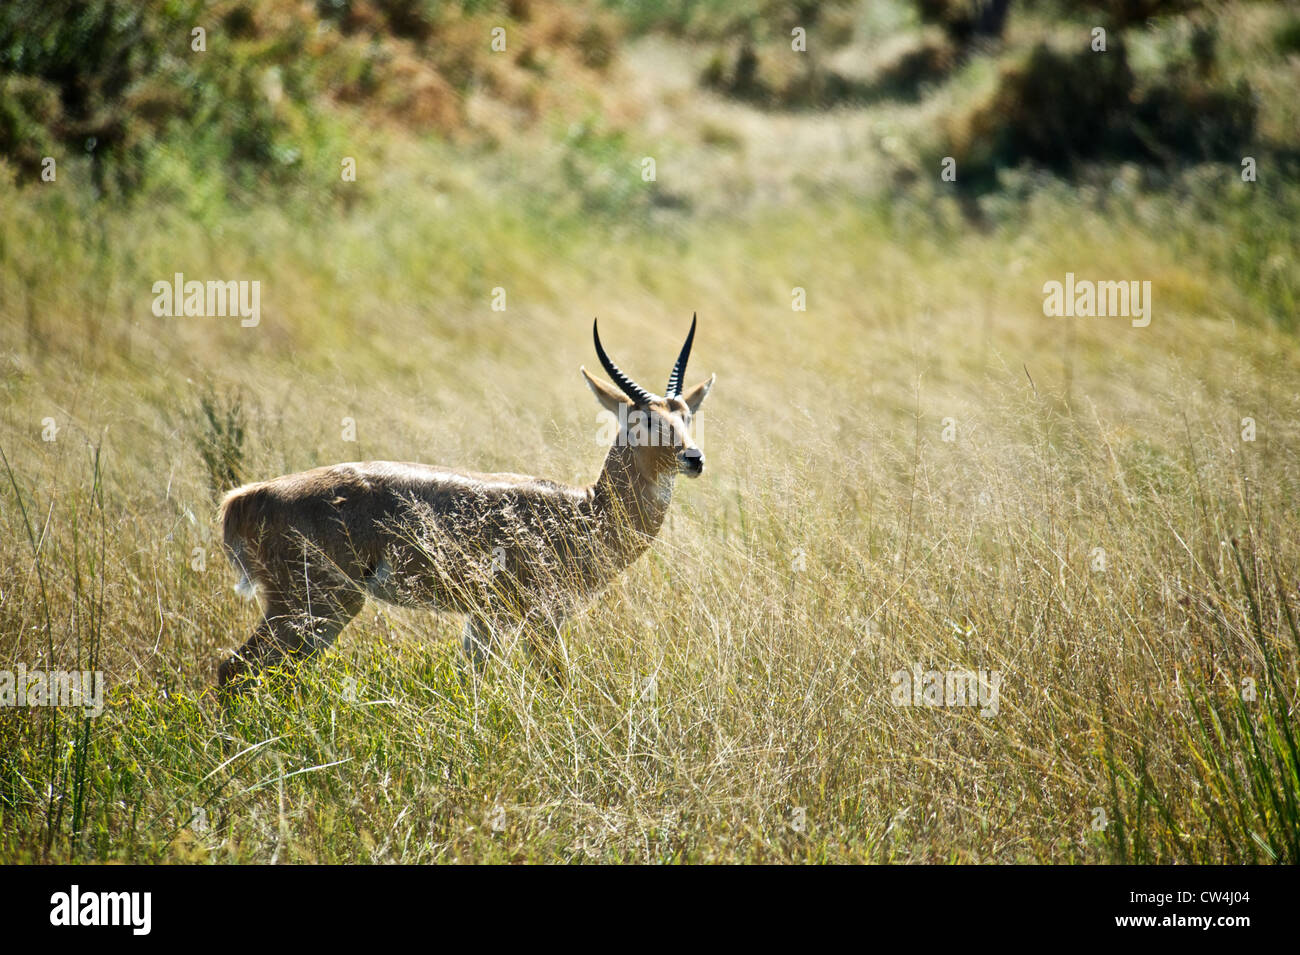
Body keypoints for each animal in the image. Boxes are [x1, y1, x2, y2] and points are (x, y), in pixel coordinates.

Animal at [216, 317, 714, 694]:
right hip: (315, 605)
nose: (693, 458)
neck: (582, 512)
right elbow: (558, 681)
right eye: (641, 418)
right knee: (234, 669)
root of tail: (246, 496)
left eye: (686, 415)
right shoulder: (543, 618)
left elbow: (469, 679)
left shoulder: (483, 620)